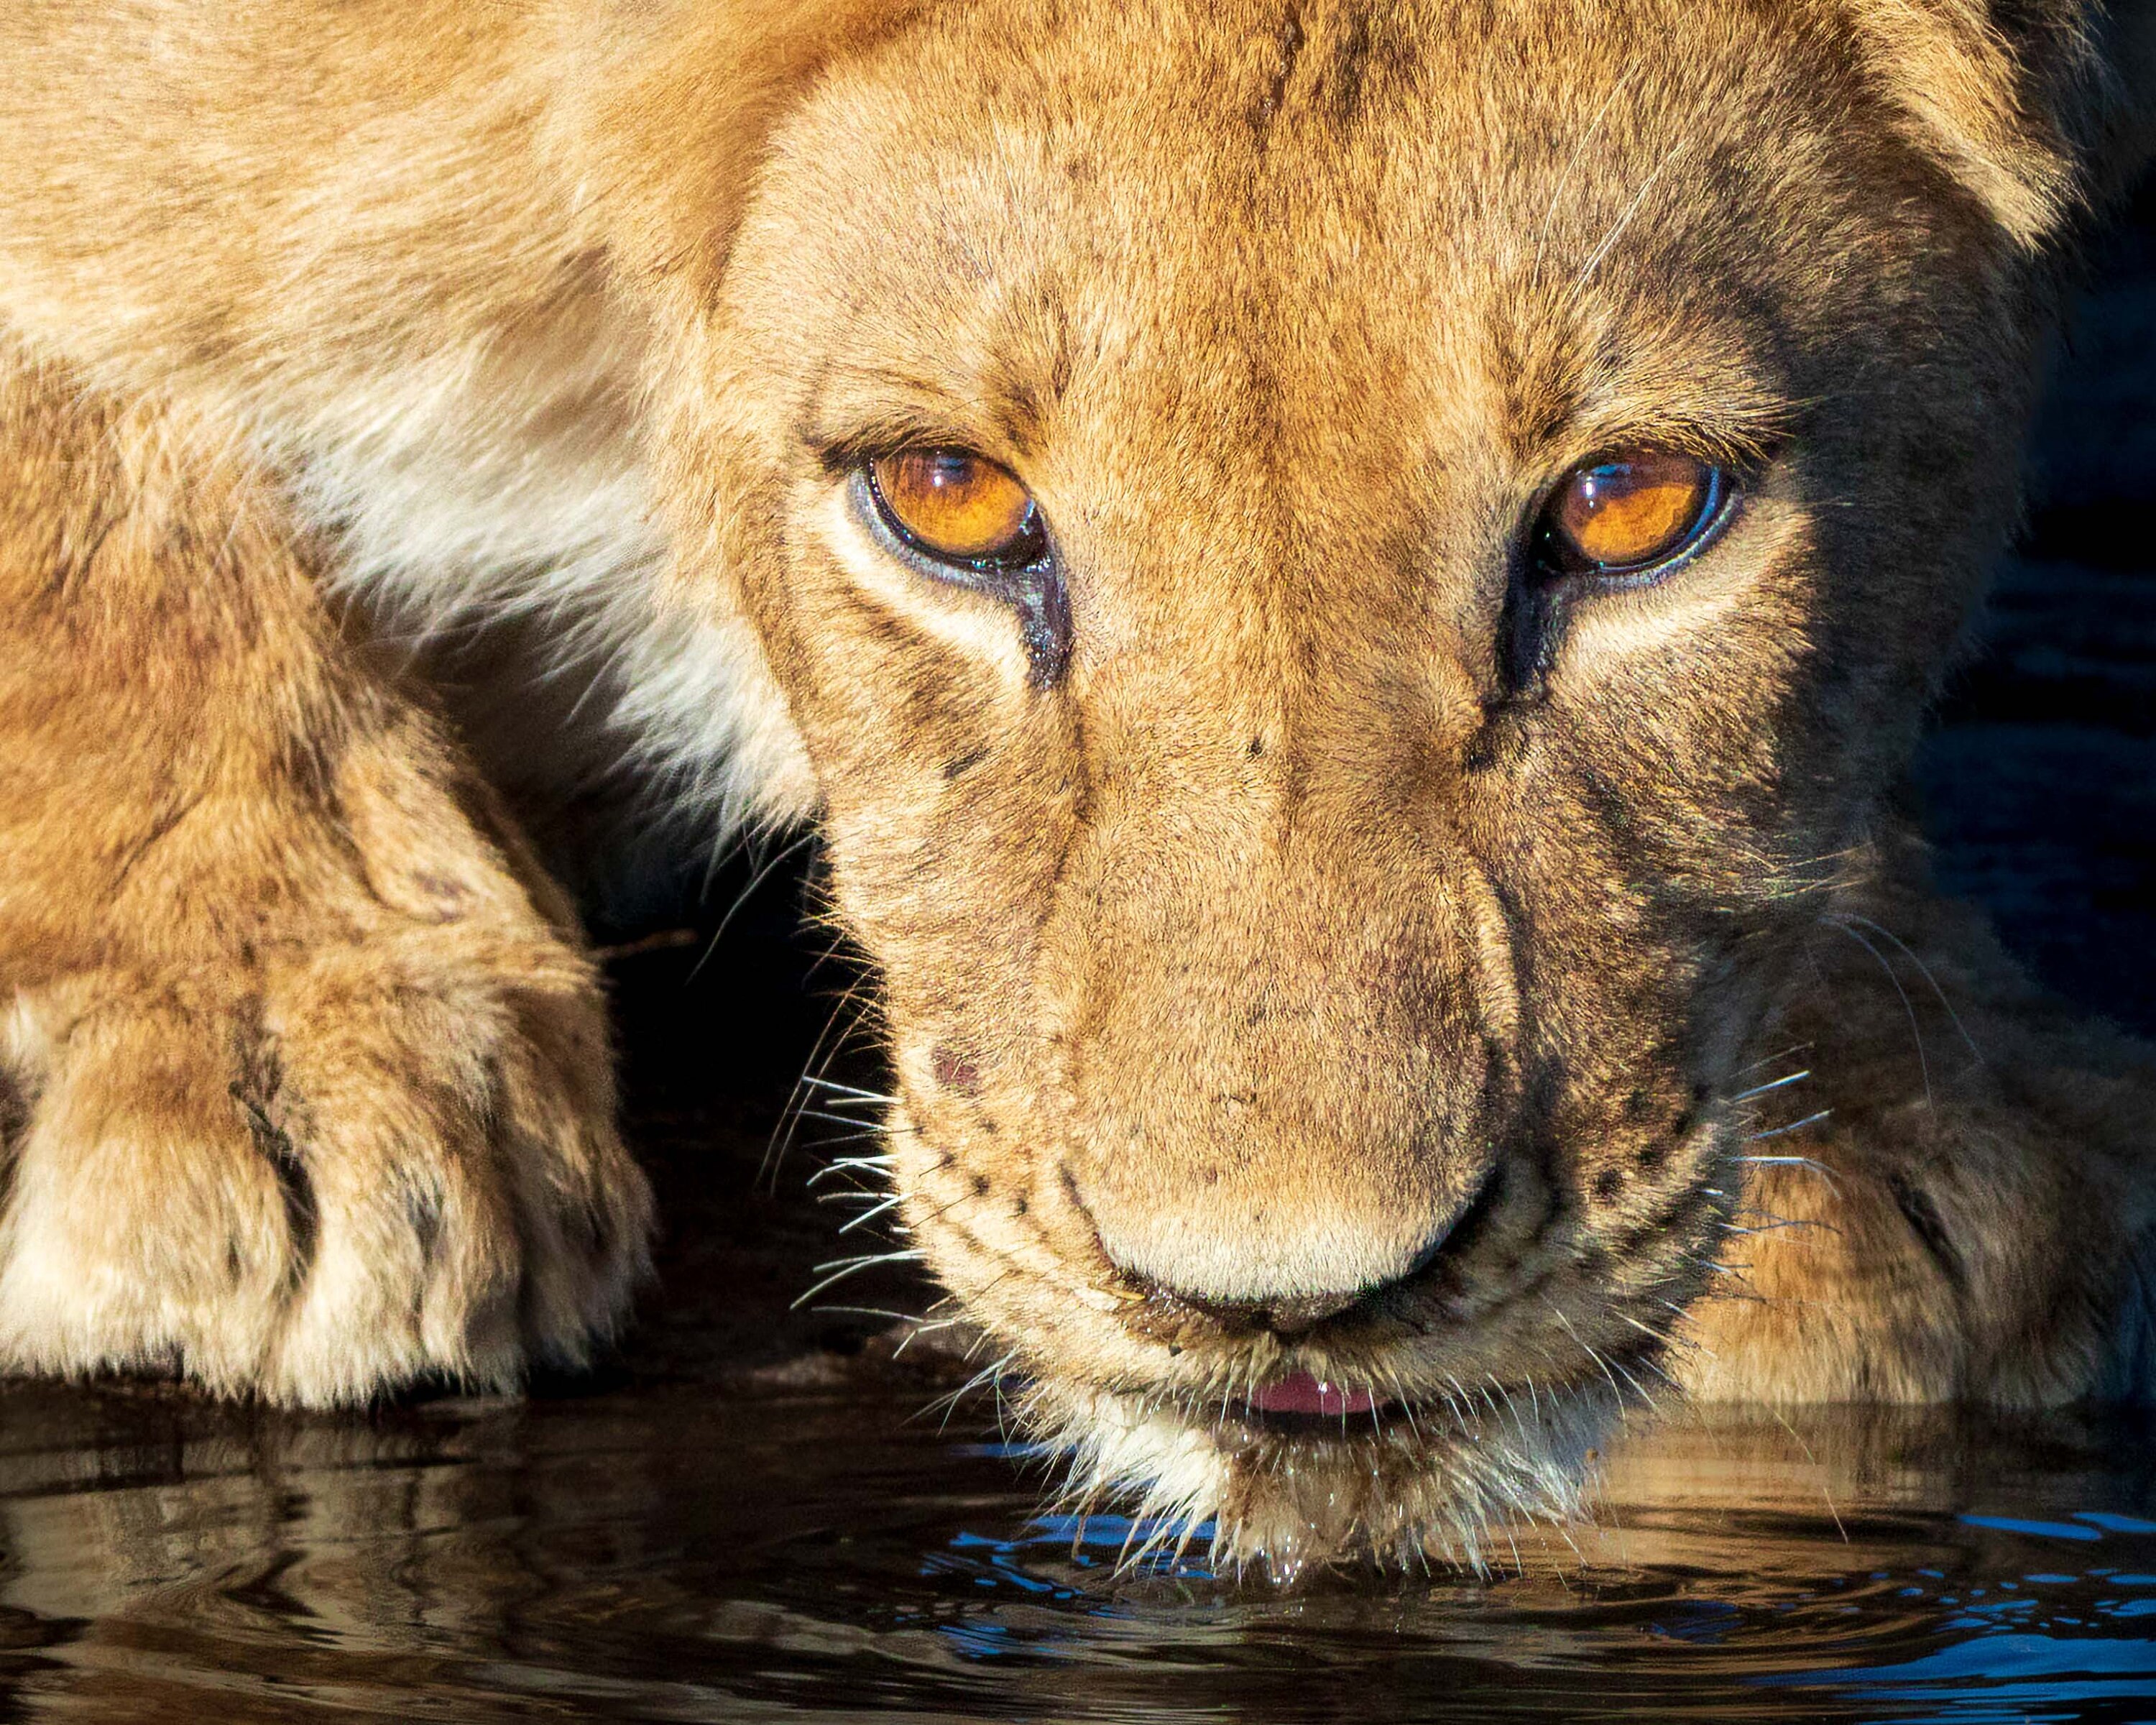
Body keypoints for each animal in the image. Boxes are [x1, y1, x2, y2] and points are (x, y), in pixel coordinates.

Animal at [2, 0, 2154, 1576]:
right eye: (946, 497)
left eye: (1634, 507)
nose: (1288, 1309)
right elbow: (82, 480)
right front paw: (271, 1040)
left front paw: (1892, 1118)